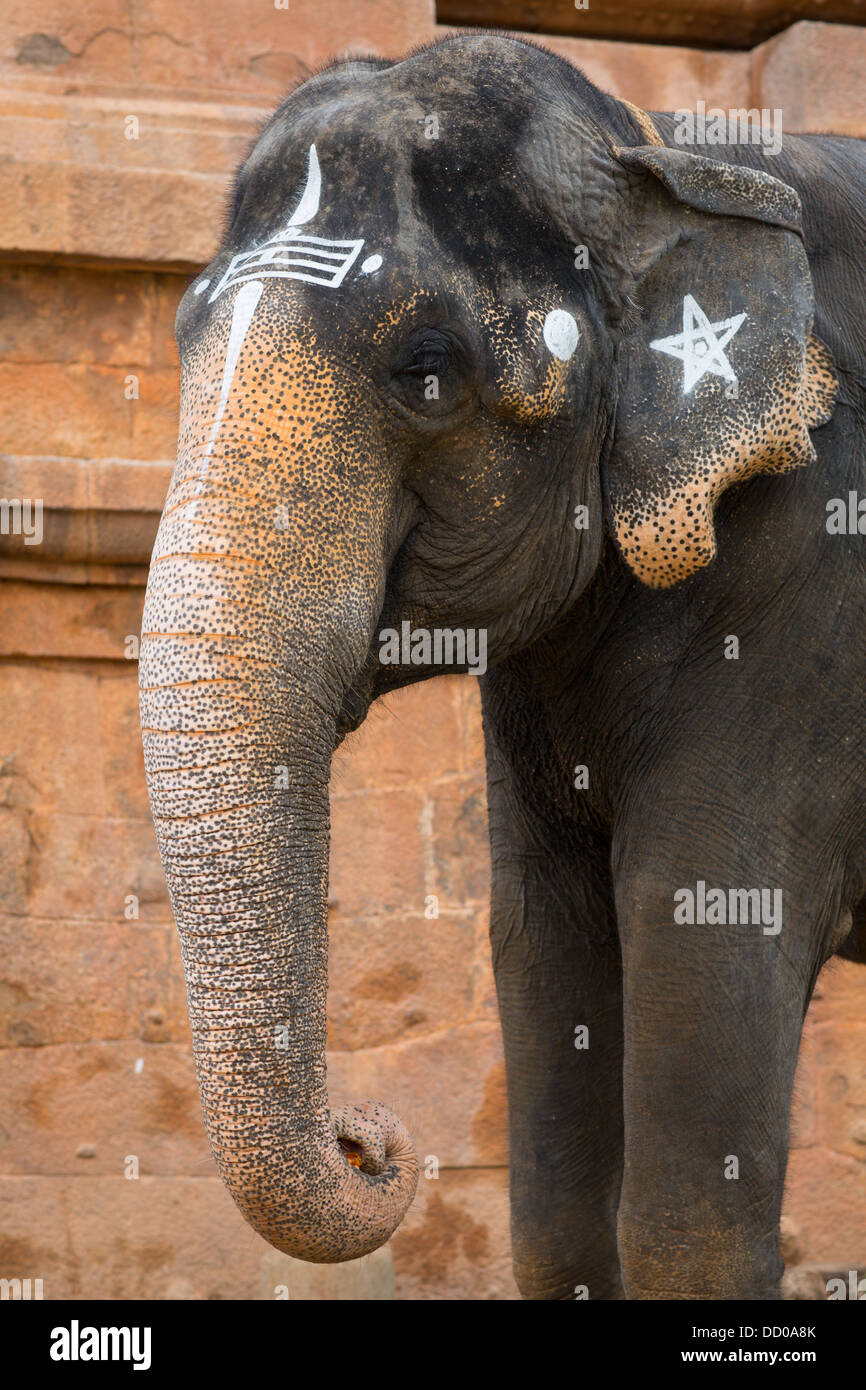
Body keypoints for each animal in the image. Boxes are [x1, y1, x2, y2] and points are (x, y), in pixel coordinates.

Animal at [139, 32, 866, 1299]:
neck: (658, 153)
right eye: (182, 340)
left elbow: (695, 924)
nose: (370, 1138)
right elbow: (544, 956)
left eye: (426, 371)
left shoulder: (805, 598)